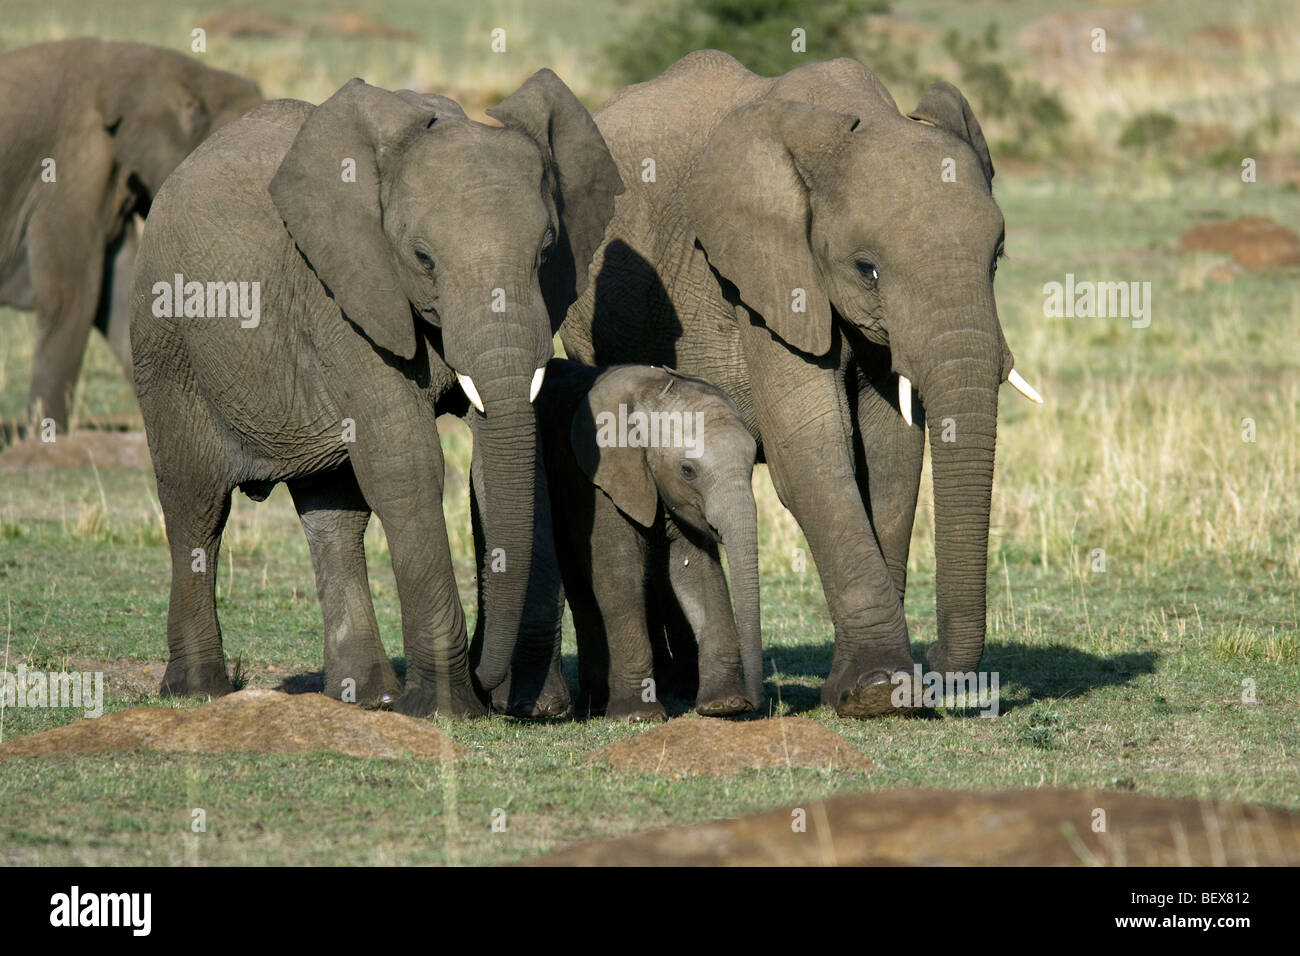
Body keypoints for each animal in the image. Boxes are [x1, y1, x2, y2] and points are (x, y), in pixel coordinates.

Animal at [129, 71, 622, 717]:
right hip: (166, 346)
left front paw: (530, 706)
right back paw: (200, 691)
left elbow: (505, 460)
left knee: (334, 513)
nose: (490, 685)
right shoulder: (342, 295)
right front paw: (445, 709)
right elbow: (405, 460)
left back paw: (365, 695)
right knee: (196, 505)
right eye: (423, 258)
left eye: (546, 251)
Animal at [535, 359, 762, 720]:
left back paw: (598, 699)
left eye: (752, 463)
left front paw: (724, 705)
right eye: (687, 471)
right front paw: (637, 716)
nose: (755, 702)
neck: (651, 392)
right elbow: (618, 571)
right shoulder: (595, 483)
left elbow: (698, 572)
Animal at [561, 51, 1043, 717]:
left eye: (996, 258)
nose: (942, 668)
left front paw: (868, 690)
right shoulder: (765, 286)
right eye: (867, 269)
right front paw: (877, 694)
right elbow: (812, 453)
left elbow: (892, 459)